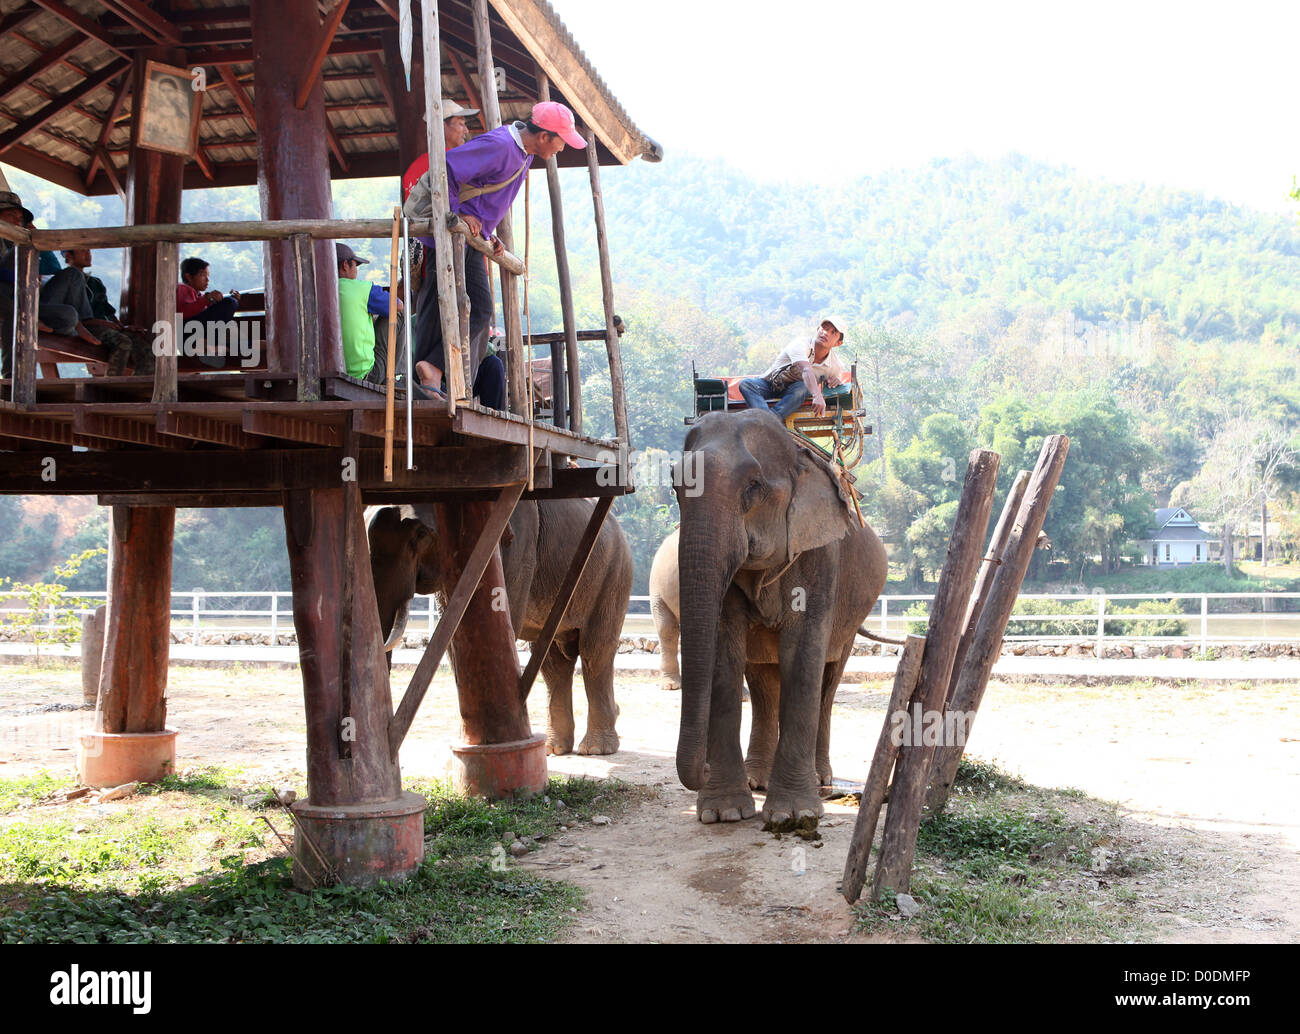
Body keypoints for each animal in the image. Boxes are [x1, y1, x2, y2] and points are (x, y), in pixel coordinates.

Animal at [366, 497, 634, 756]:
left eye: (421, 534)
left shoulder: (519, 542)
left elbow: (504, 614)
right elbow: (452, 632)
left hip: (613, 577)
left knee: (594, 650)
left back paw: (596, 749)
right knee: (553, 662)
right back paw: (554, 749)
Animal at [673, 409, 888, 829]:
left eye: (753, 487)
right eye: (675, 486)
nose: (702, 768)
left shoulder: (821, 553)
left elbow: (803, 656)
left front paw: (794, 814)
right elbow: (724, 653)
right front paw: (724, 813)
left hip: (853, 617)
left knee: (828, 680)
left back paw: (820, 778)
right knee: (762, 681)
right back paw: (758, 777)